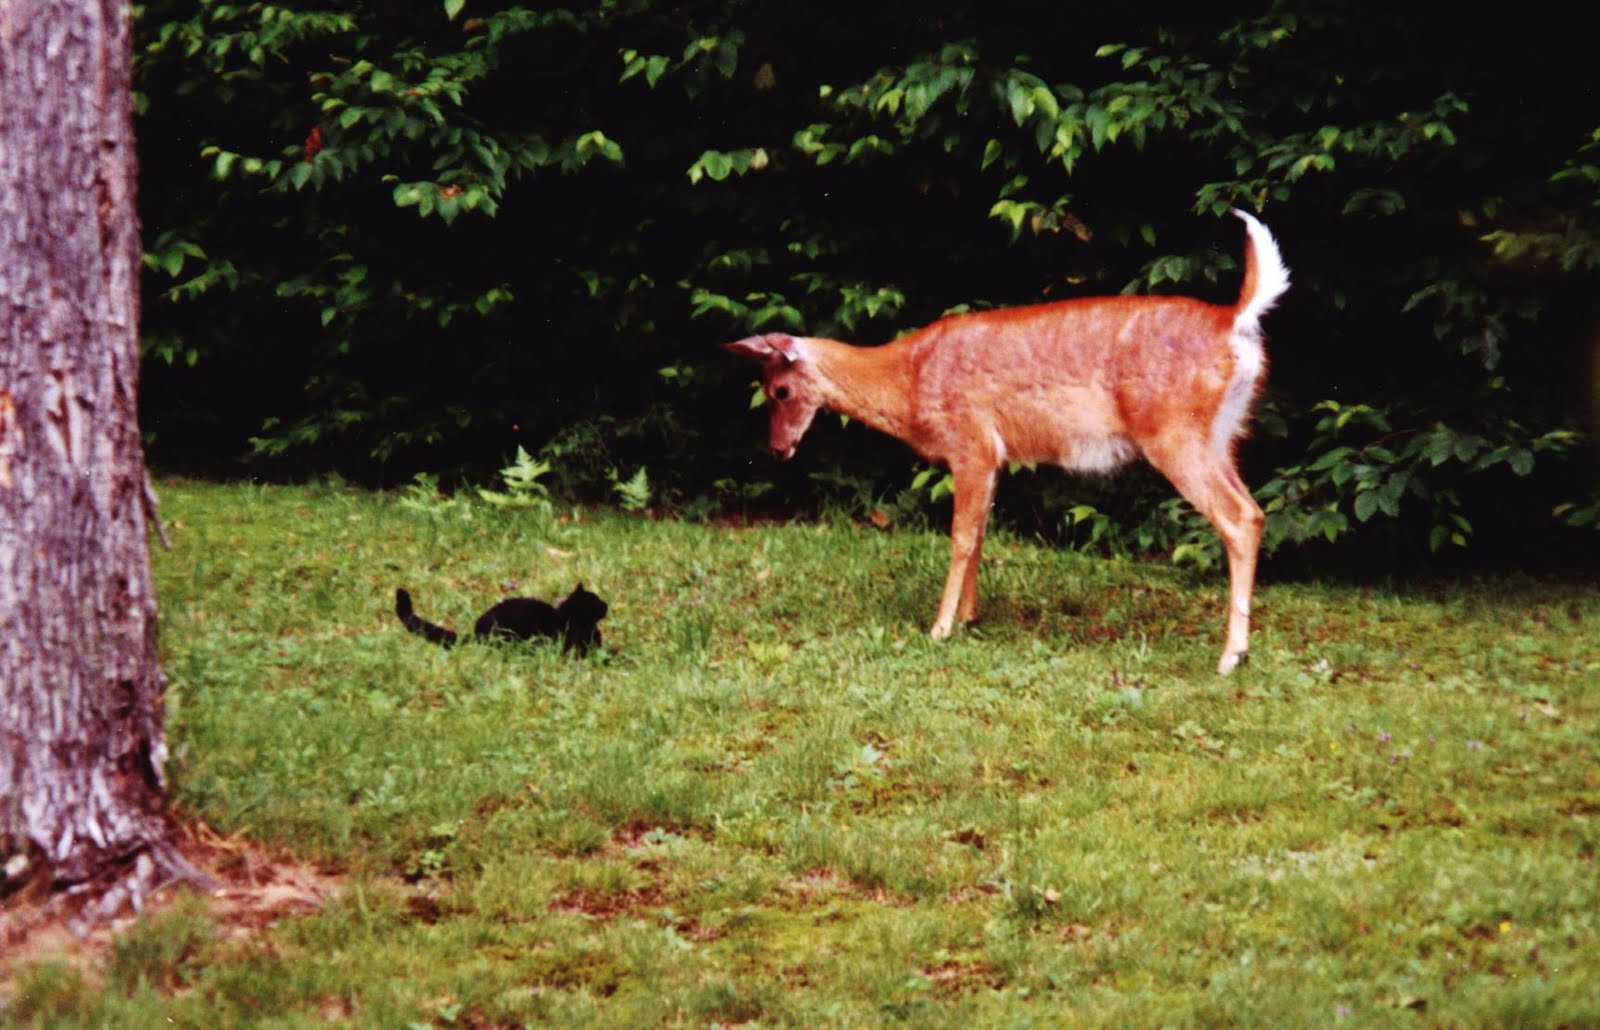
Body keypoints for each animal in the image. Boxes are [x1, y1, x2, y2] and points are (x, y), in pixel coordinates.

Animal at [724, 210, 1289, 674]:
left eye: (778, 391)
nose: (776, 449)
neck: (907, 381)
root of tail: (1236, 323)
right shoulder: (994, 456)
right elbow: (980, 535)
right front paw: (969, 618)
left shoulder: (969, 442)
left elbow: (960, 537)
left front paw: (940, 627)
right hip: (1222, 435)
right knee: (1255, 509)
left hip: (1175, 431)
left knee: (1239, 517)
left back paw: (1230, 656)